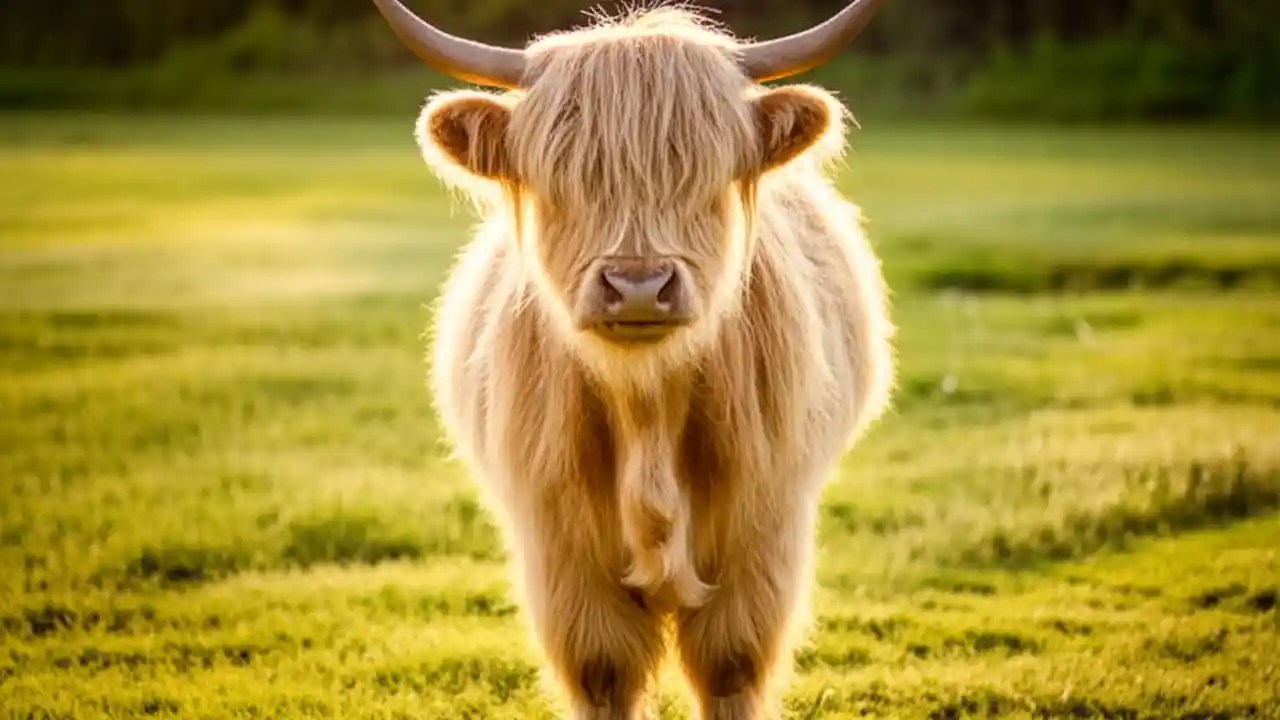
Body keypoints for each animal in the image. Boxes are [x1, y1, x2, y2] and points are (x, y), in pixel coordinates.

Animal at [371, 1, 896, 717]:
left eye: (705, 173)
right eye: (561, 176)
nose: (639, 285)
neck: (647, 407)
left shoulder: (764, 536)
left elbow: (730, 669)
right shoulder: (562, 559)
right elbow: (605, 673)